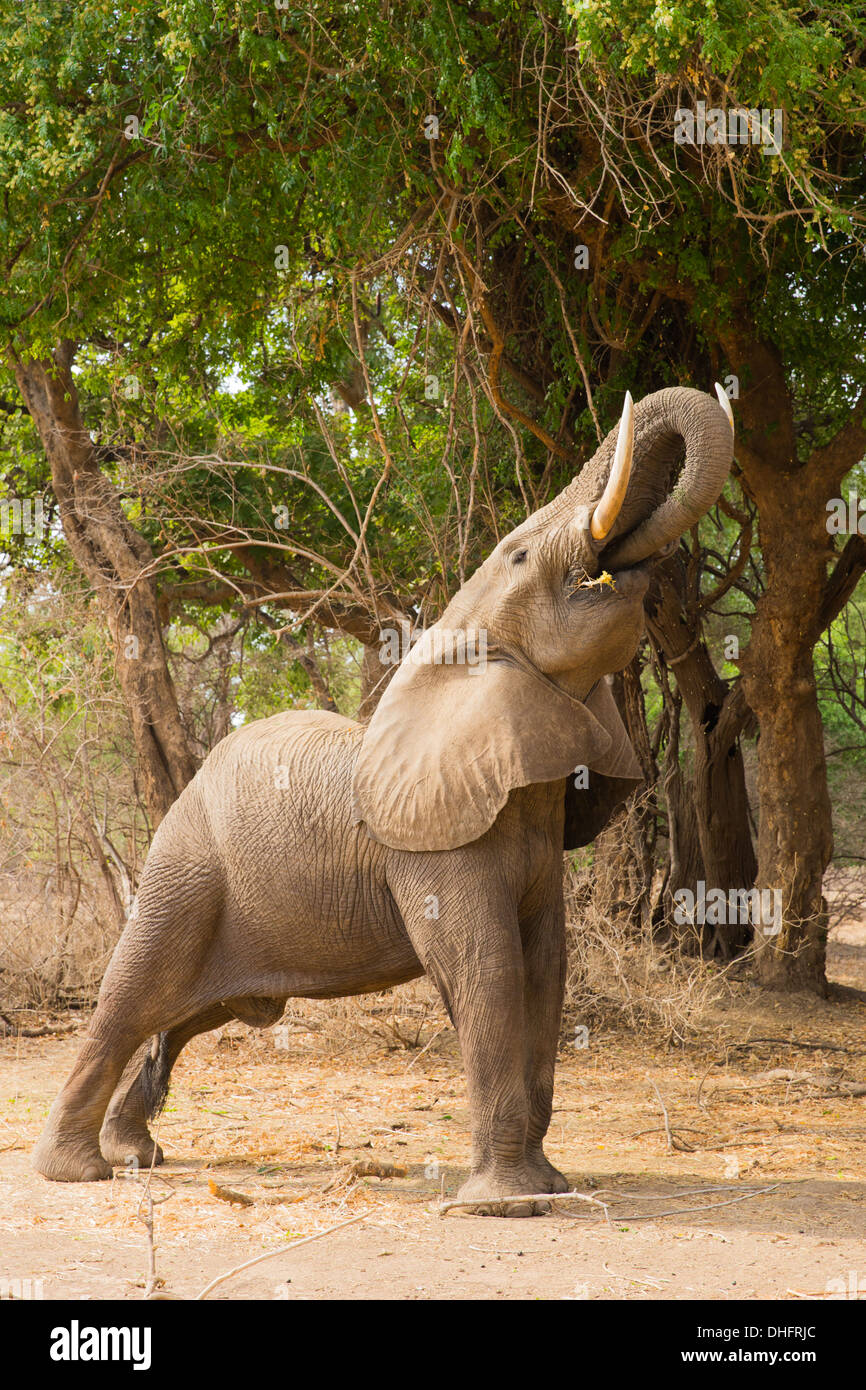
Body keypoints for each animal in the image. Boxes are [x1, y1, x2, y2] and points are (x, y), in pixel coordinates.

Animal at [33, 384, 734, 1215]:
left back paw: (135, 1155)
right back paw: (76, 1172)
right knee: (133, 997)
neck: (457, 648)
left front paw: (548, 1188)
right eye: (520, 555)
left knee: (183, 1017)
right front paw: (506, 1205)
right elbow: (486, 967)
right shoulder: (435, 847)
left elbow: (546, 966)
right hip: (186, 870)